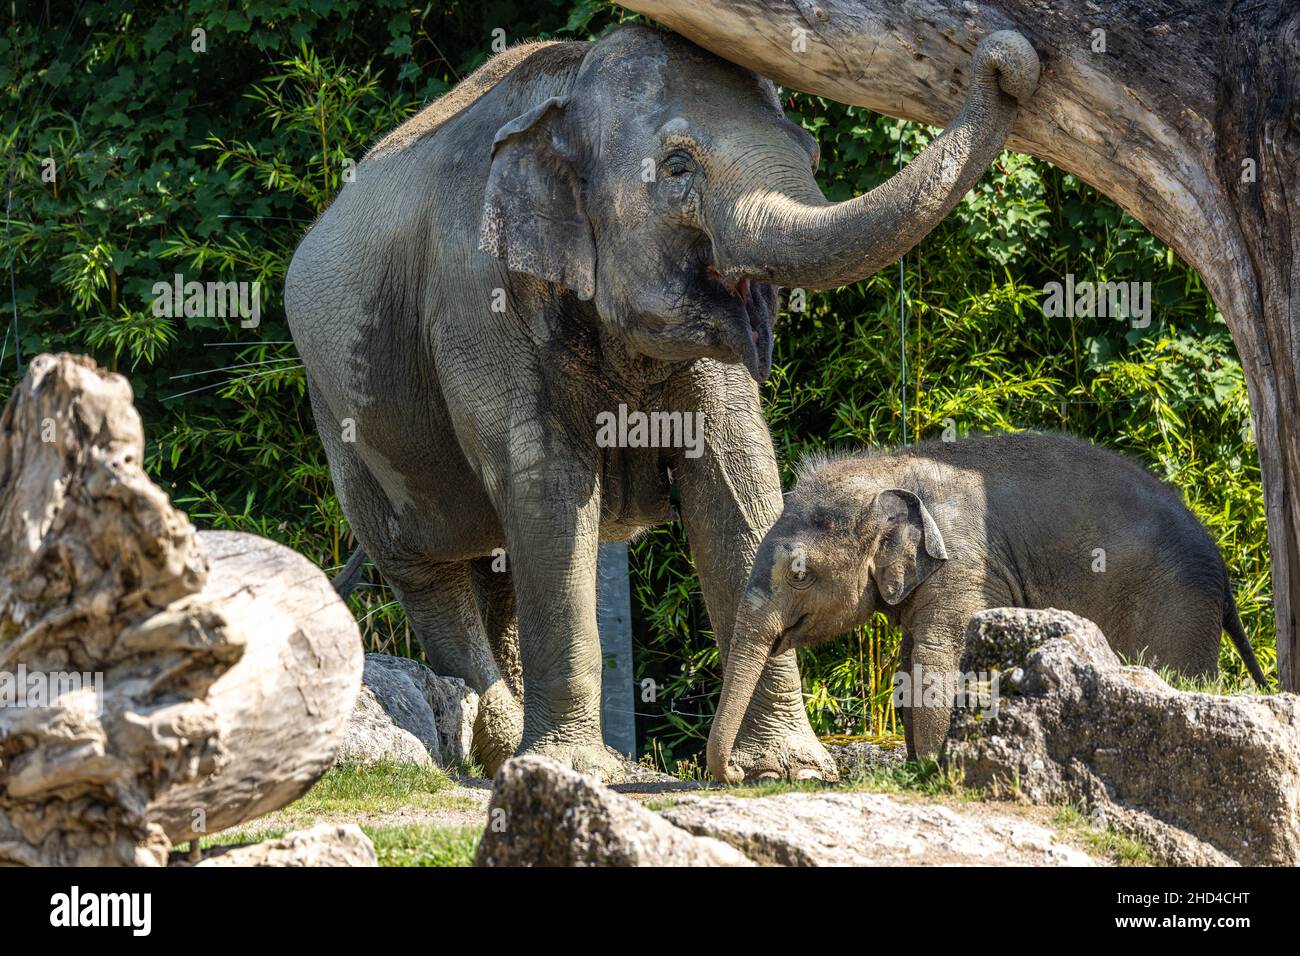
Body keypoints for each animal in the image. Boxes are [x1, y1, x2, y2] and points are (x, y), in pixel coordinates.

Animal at [285, 24, 1040, 781]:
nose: (1007, 60)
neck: (567, 94)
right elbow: (548, 489)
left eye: (812, 152)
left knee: (496, 570)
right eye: (677, 167)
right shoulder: (478, 302)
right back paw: (497, 743)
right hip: (341, 420)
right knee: (427, 571)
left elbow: (736, 476)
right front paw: (577, 770)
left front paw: (787, 769)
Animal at [708, 431, 1270, 783]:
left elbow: (937, 656)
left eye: (798, 574)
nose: (737, 773)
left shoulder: (965, 566)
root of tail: (1222, 567)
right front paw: (922, 765)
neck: (887, 466)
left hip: (1177, 605)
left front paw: (934, 768)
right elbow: (910, 659)